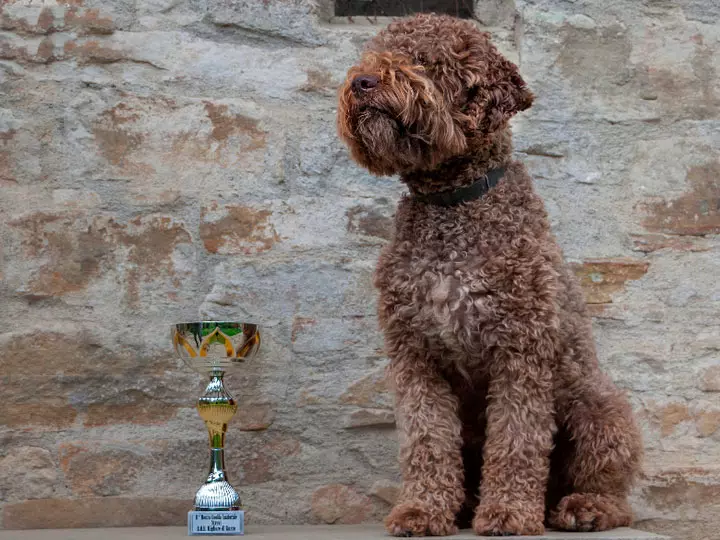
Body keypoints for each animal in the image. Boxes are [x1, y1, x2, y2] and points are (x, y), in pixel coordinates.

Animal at [338, 12, 640, 536]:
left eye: (425, 60)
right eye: (374, 52)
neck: (452, 205)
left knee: (614, 492)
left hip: (599, 408)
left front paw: (508, 514)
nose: (362, 81)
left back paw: (583, 507)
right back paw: (466, 505)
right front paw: (423, 510)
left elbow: (517, 440)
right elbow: (426, 438)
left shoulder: (520, 351)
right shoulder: (415, 353)